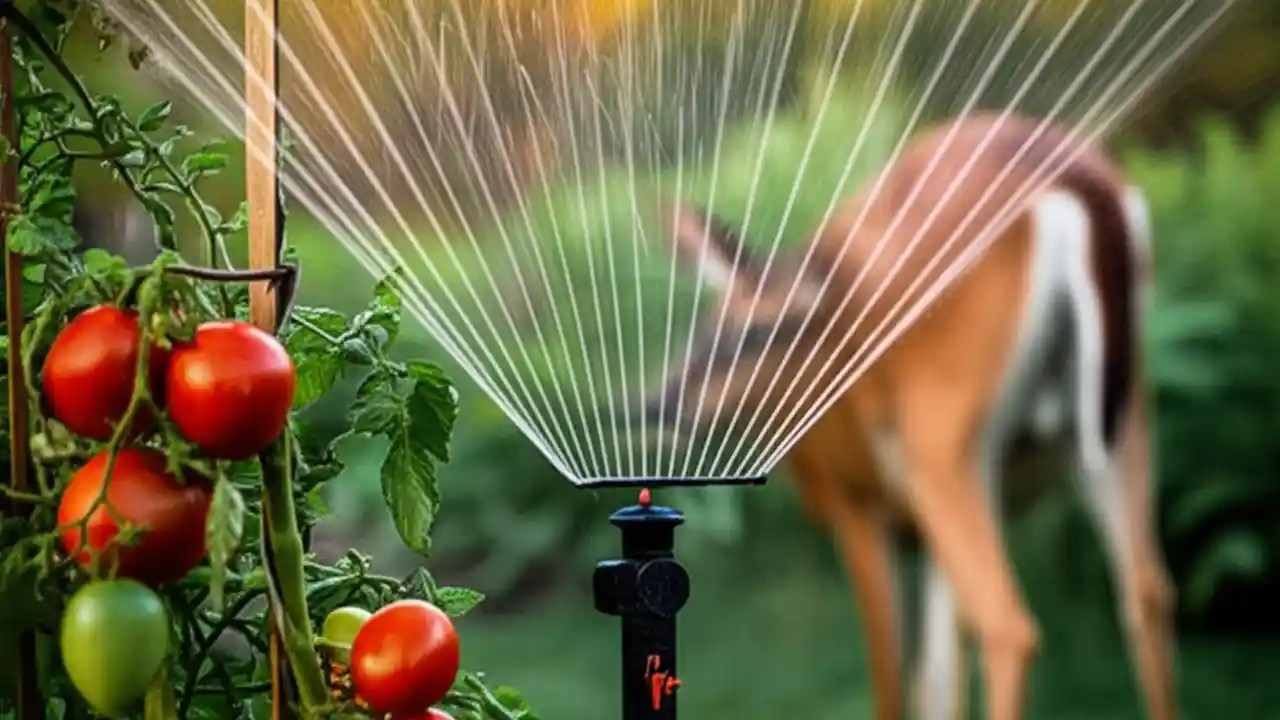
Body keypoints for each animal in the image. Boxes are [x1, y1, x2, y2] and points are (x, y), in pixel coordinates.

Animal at [643, 114, 1175, 720]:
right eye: (706, 326)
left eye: (748, 331)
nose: (656, 400)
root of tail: (1073, 180)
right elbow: (938, 680)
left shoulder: (858, 505)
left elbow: (895, 677)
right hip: (1119, 420)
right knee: (1148, 594)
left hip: (942, 445)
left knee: (1009, 626)